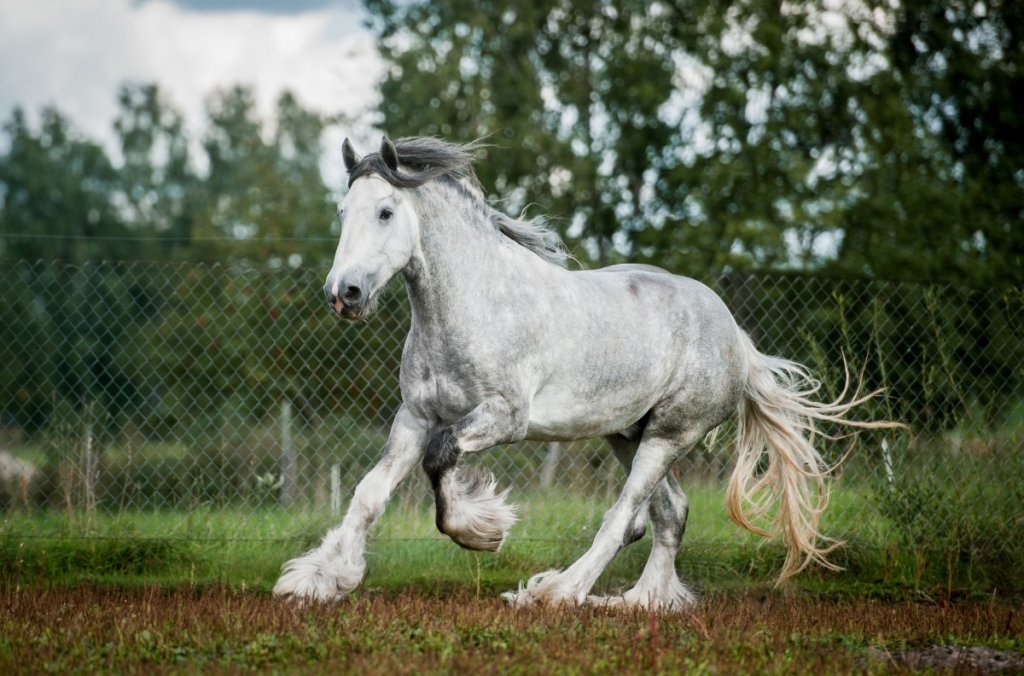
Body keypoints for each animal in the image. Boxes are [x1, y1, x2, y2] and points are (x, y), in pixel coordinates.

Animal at [273, 136, 897, 610]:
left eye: (385, 211)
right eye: (342, 213)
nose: (345, 294)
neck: (472, 302)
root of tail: (736, 339)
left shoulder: (503, 417)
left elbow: (441, 461)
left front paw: (485, 529)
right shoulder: (415, 415)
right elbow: (368, 493)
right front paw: (320, 580)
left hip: (669, 435)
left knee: (624, 518)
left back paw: (555, 593)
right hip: (627, 433)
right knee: (668, 515)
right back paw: (641, 601)